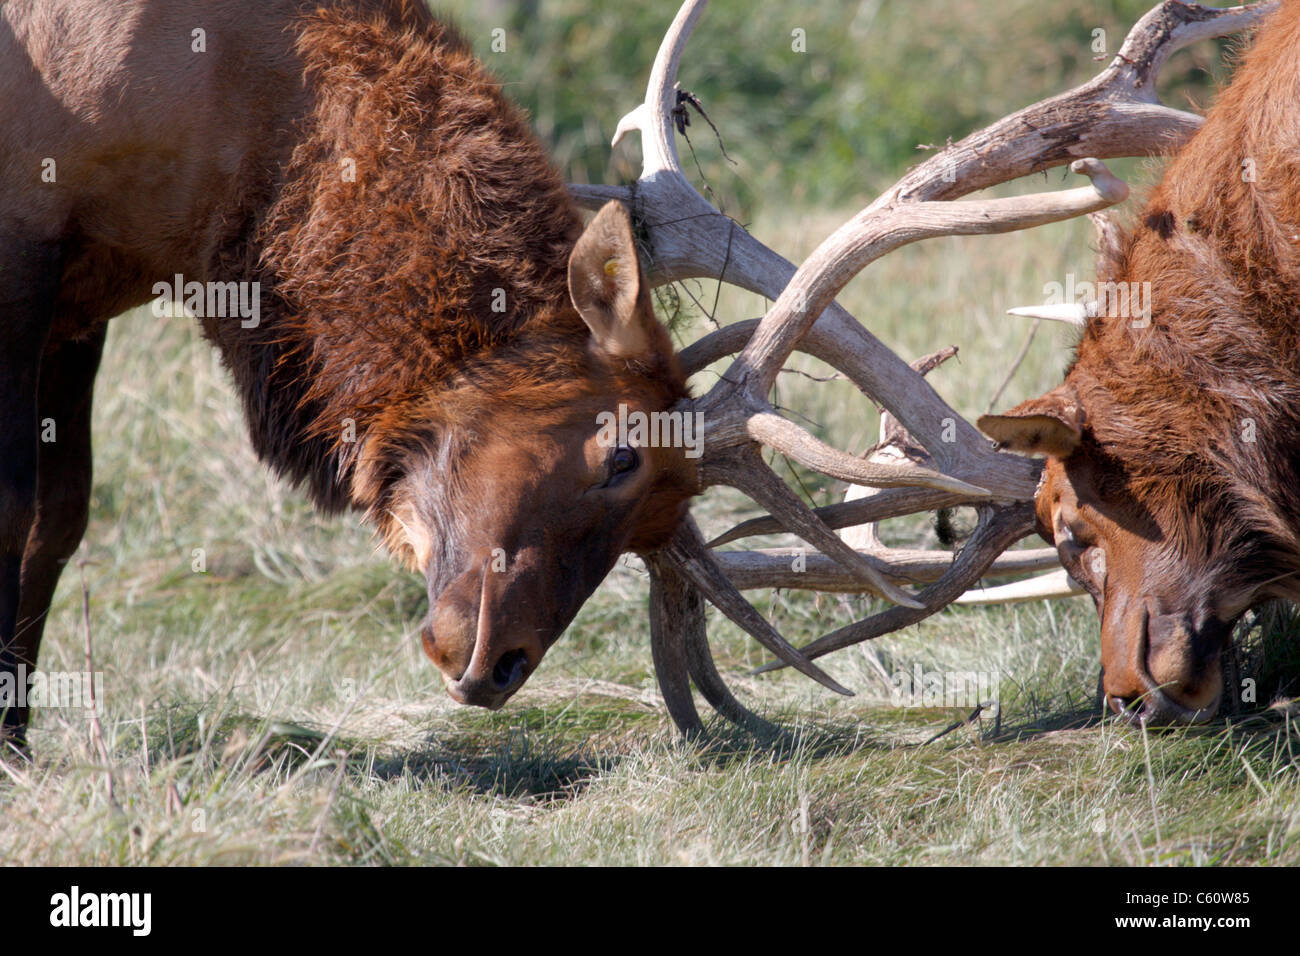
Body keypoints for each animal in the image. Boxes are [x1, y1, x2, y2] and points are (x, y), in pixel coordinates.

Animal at [0, 0, 1272, 755]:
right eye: (615, 450)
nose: (490, 661)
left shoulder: (87, 294)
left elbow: (60, 522)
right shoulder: (36, 244)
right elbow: (23, 515)